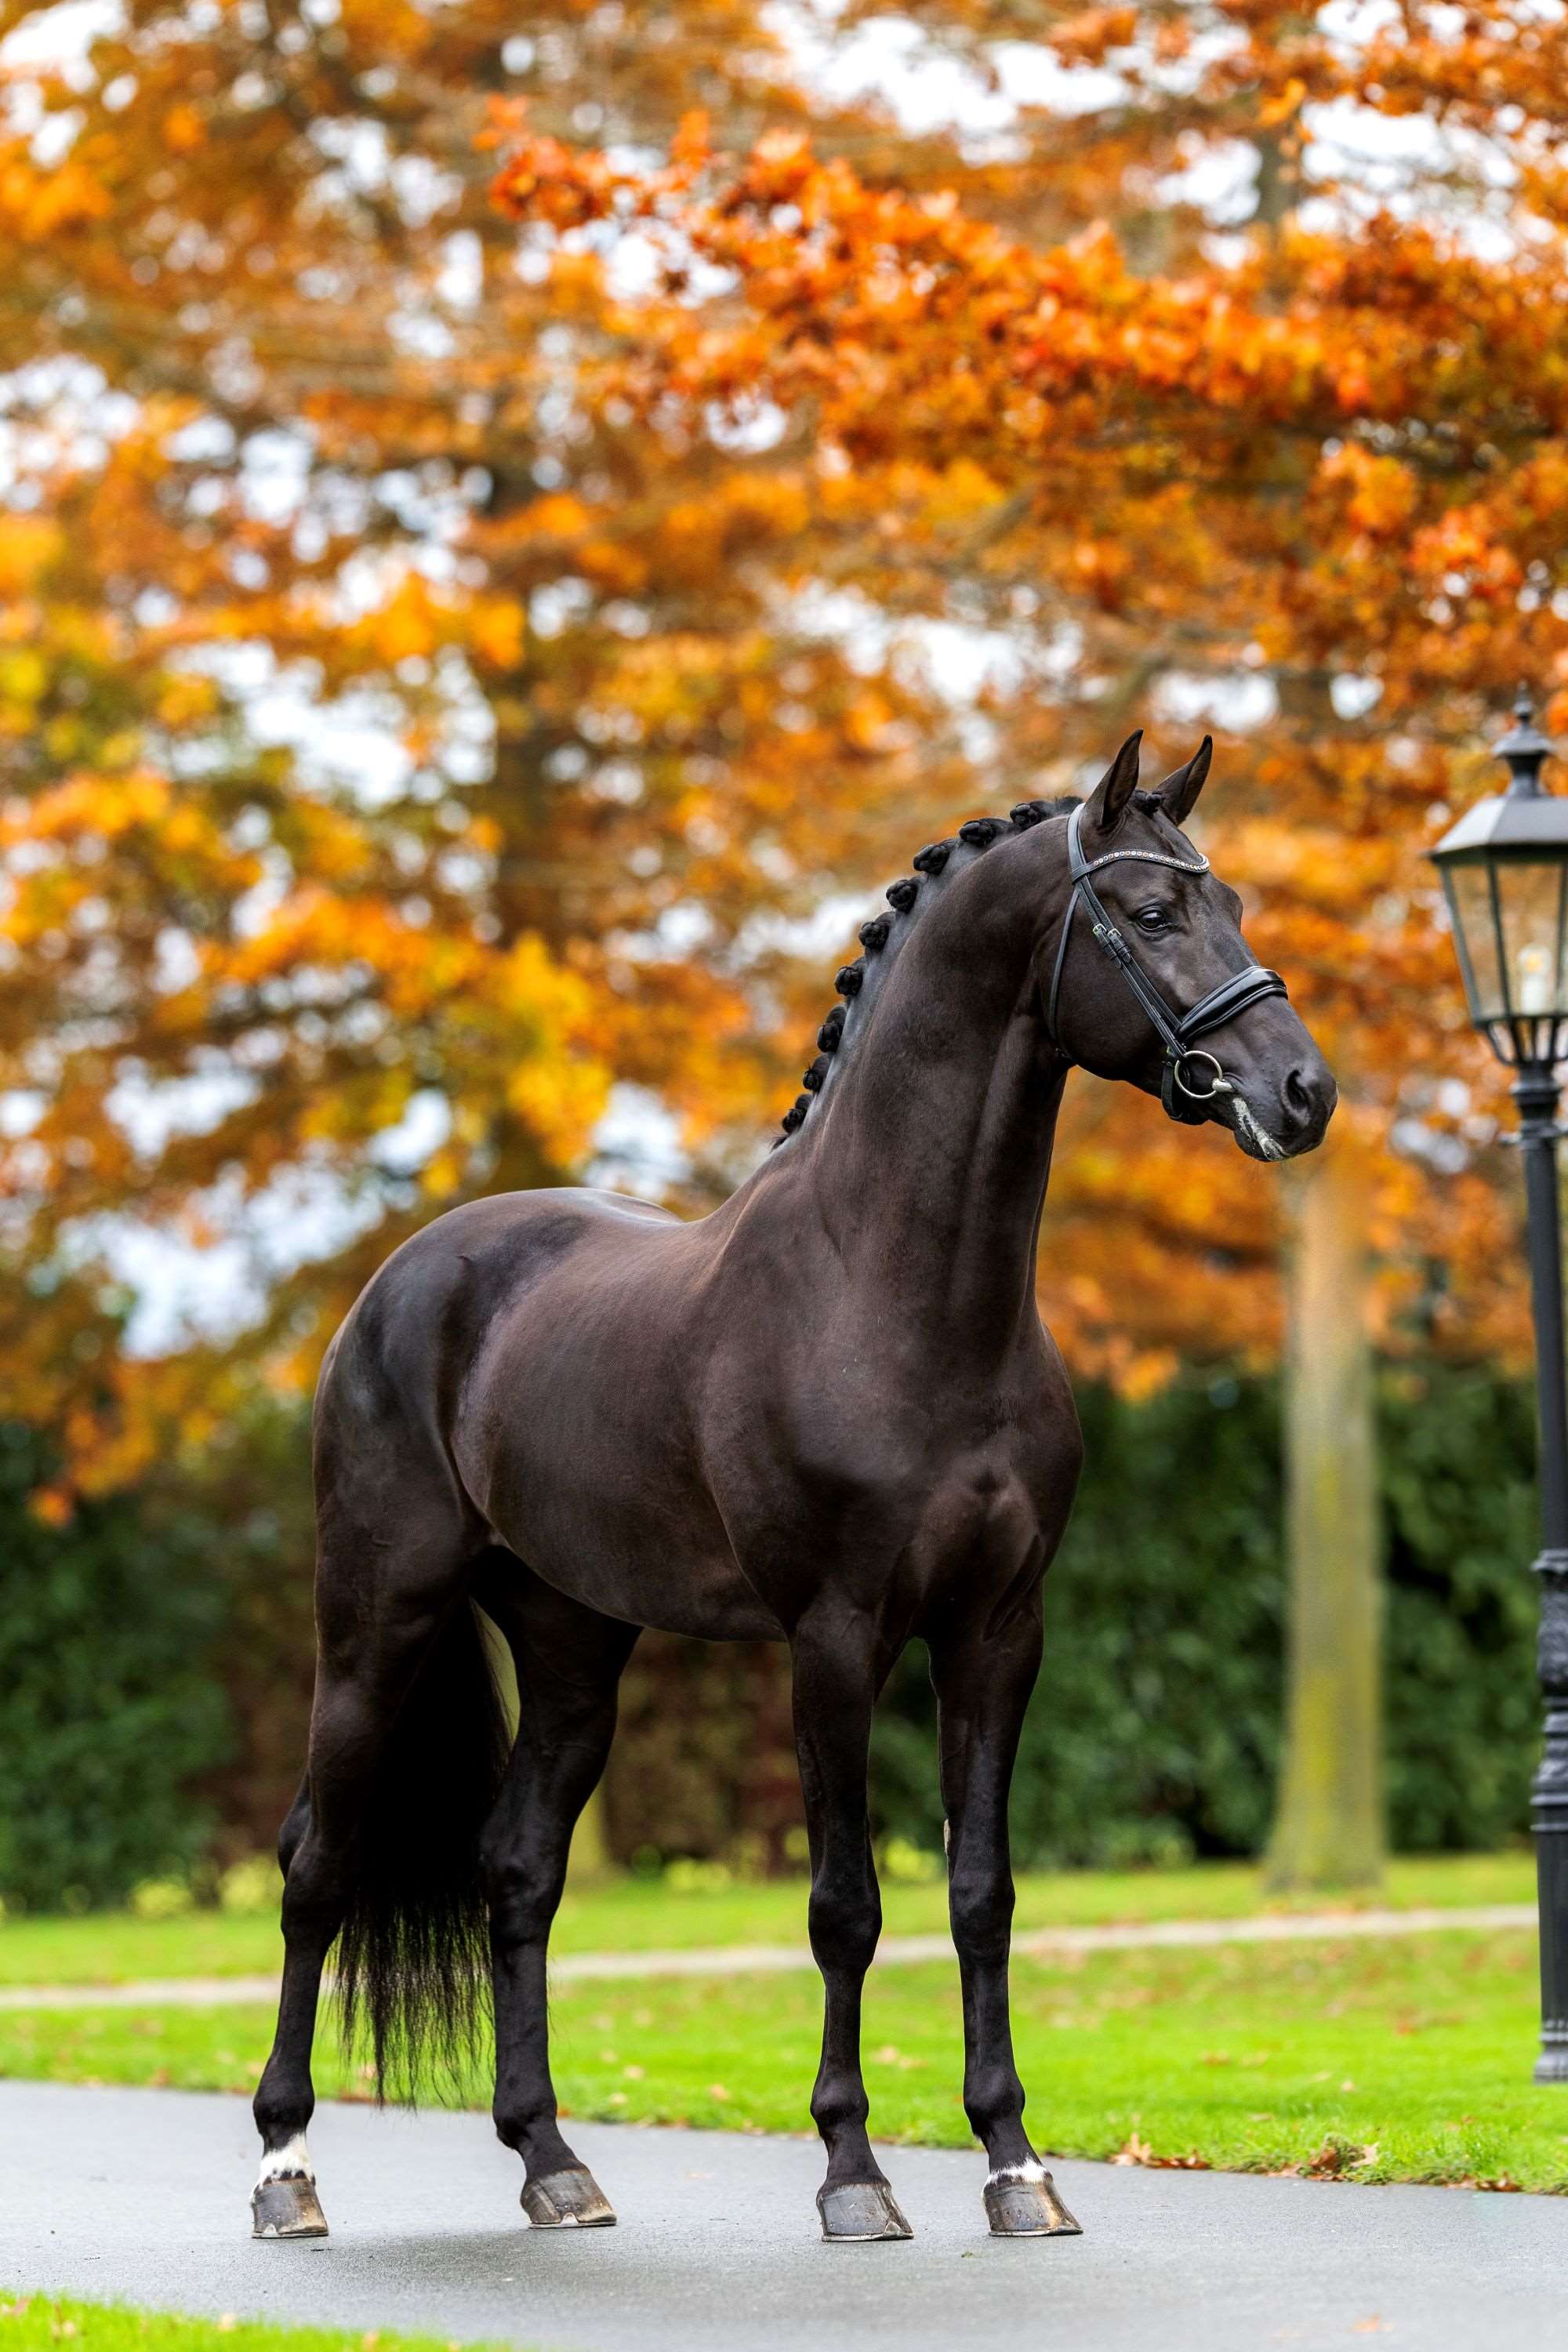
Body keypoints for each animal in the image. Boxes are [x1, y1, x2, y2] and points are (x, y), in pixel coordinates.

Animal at [250, 727, 1335, 2248]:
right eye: (1152, 911)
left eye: (1227, 897)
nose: (1301, 1092)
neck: (893, 1291)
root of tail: (402, 1283)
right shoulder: (834, 1640)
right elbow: (845, 1906)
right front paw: (855, 2173)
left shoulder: (998, 1634)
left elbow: (981, 1891)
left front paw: (1017, 2168)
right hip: (375, 1622)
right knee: (317, 1863)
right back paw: (287, 2169)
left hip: (574, 1645)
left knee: (518, 1867)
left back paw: (552, 2164)